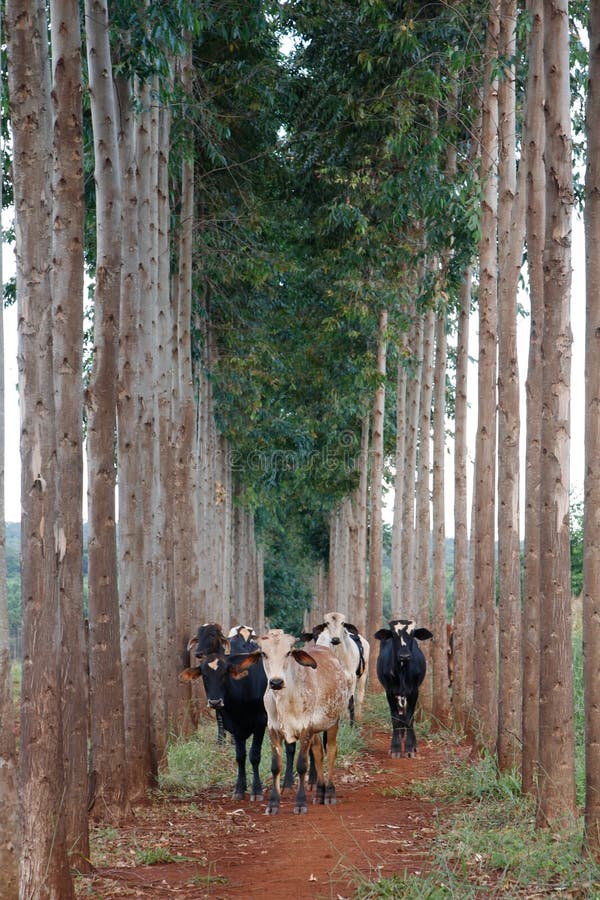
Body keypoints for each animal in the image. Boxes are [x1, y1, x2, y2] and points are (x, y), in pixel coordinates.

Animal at [231, 629, 348, 815]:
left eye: (288, 653)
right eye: (264, 653)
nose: (276, 682)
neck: (284, 699)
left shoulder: (305, 728)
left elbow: (301, 765)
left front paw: (300, 803)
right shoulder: (273, 730)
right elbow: (276, 766)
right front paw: (273, 803)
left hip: (333, 721)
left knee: (331, 751)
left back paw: (329, 792)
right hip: (316, 729)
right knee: (318, 753)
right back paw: (319, 793)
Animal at [374, 619, 433, 759]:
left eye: (412, 634)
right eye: (394, 635)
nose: (404, 656)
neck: (402, 672)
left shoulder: (414, 691)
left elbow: (409, 718)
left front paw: (410, 747)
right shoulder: (390, 692)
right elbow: (395, 718)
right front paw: (395, 748)